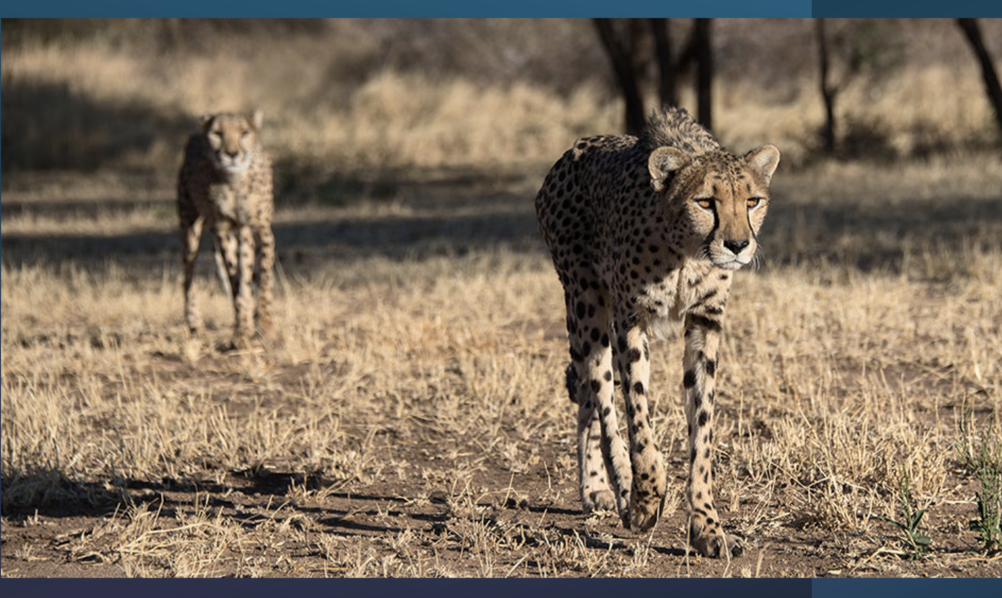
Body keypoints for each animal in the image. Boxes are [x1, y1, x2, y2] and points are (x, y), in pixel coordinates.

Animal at [177, 111, 276, 349]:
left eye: (244, 133)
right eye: (217, 133)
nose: (232, 154)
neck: (235, 182)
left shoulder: (261, 228)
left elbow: (264, 277)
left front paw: (266, 325)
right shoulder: (221, 228)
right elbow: (236, 279)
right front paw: (242, 330)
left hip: (242, 232)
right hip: (191, 228)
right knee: (188, 273)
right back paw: (195, 322)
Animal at [535, 106, 780, 558]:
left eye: (752, 201)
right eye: (706, 202)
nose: (738, 245)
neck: (687, 250)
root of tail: (574, 150)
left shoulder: (705, 322)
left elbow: (702, 430)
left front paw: (706, 525)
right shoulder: (631, 319)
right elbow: (637, 420)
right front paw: (647, 497)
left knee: (589, 400)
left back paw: (594, 488)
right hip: (588, 307)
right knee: (601, 399)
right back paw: (620, 491)